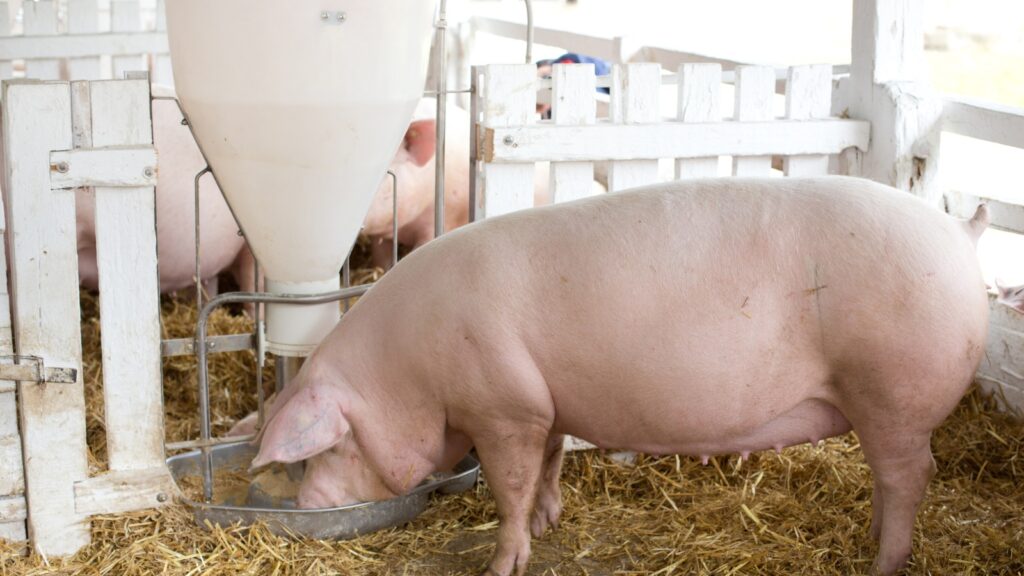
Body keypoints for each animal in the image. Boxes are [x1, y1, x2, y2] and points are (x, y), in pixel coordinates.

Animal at [251, 176, 990, 576]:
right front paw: (551, 521)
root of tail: (960, 232)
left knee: (910, 475)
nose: (307, 508)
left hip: (893, 389)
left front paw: (503, 561)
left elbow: (510, 487)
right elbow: (550, 463)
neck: (412, 365)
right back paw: (869, 540)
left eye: (331, 449)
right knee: (890, 479)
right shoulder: (544, 402)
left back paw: (882, 561)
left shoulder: (504, 408)